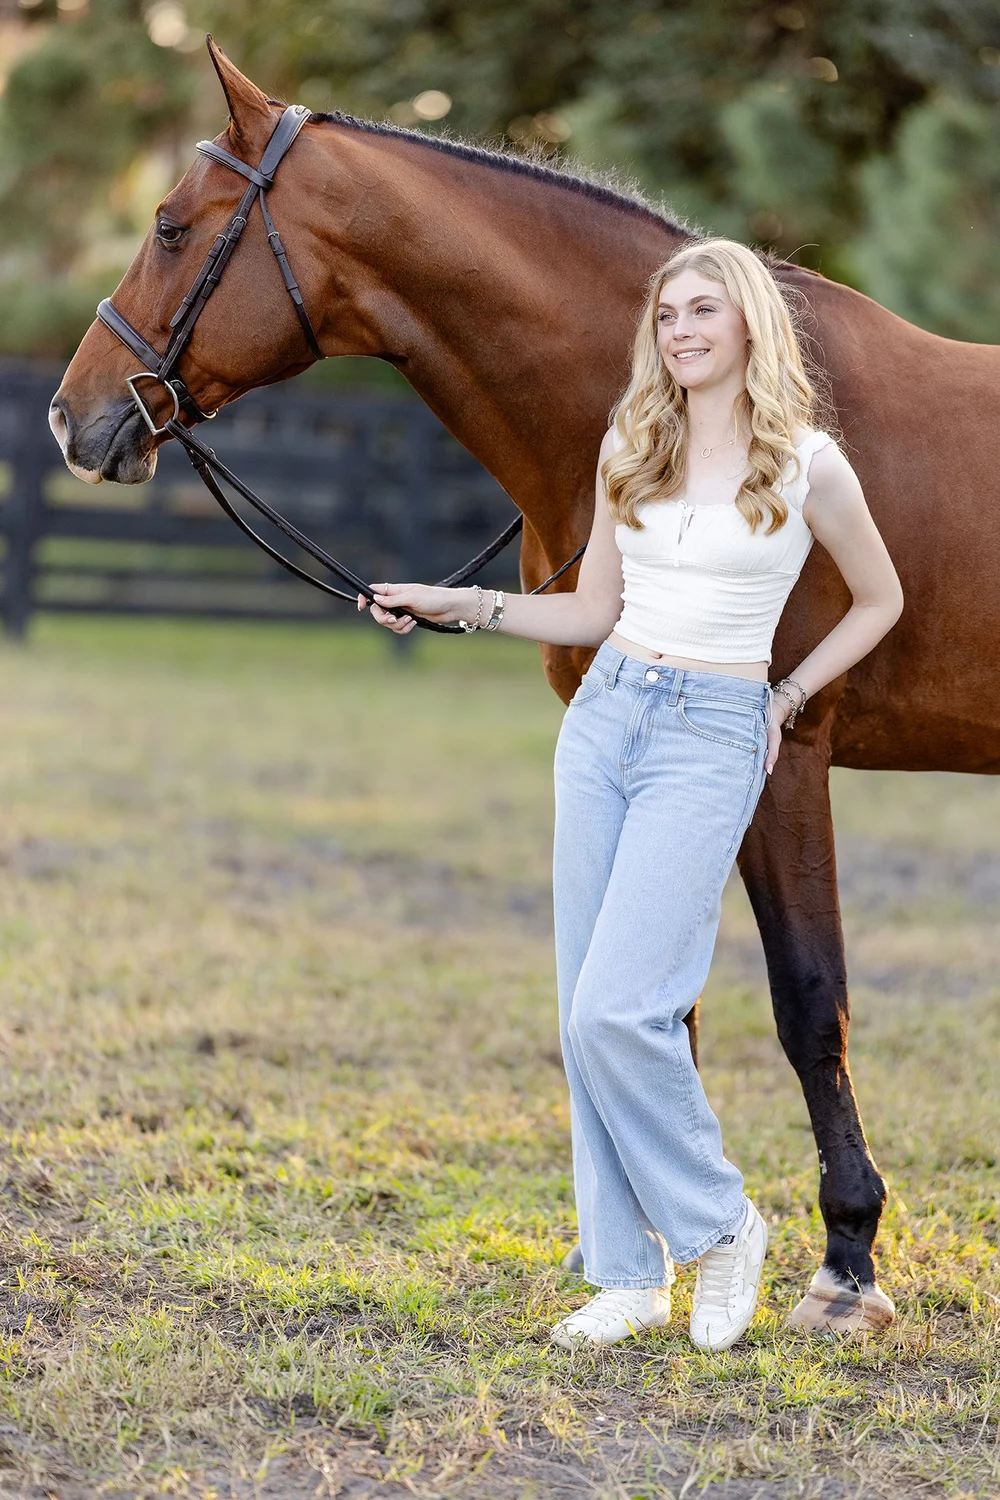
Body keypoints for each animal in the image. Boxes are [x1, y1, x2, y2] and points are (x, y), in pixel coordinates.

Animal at [48, 39, 1000, 1333]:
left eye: (169, 228)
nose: (71, 418)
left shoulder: (783, 760)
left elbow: (811, 1001)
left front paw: (847, 1260)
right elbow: (659, 1005)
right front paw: (664, 1259)